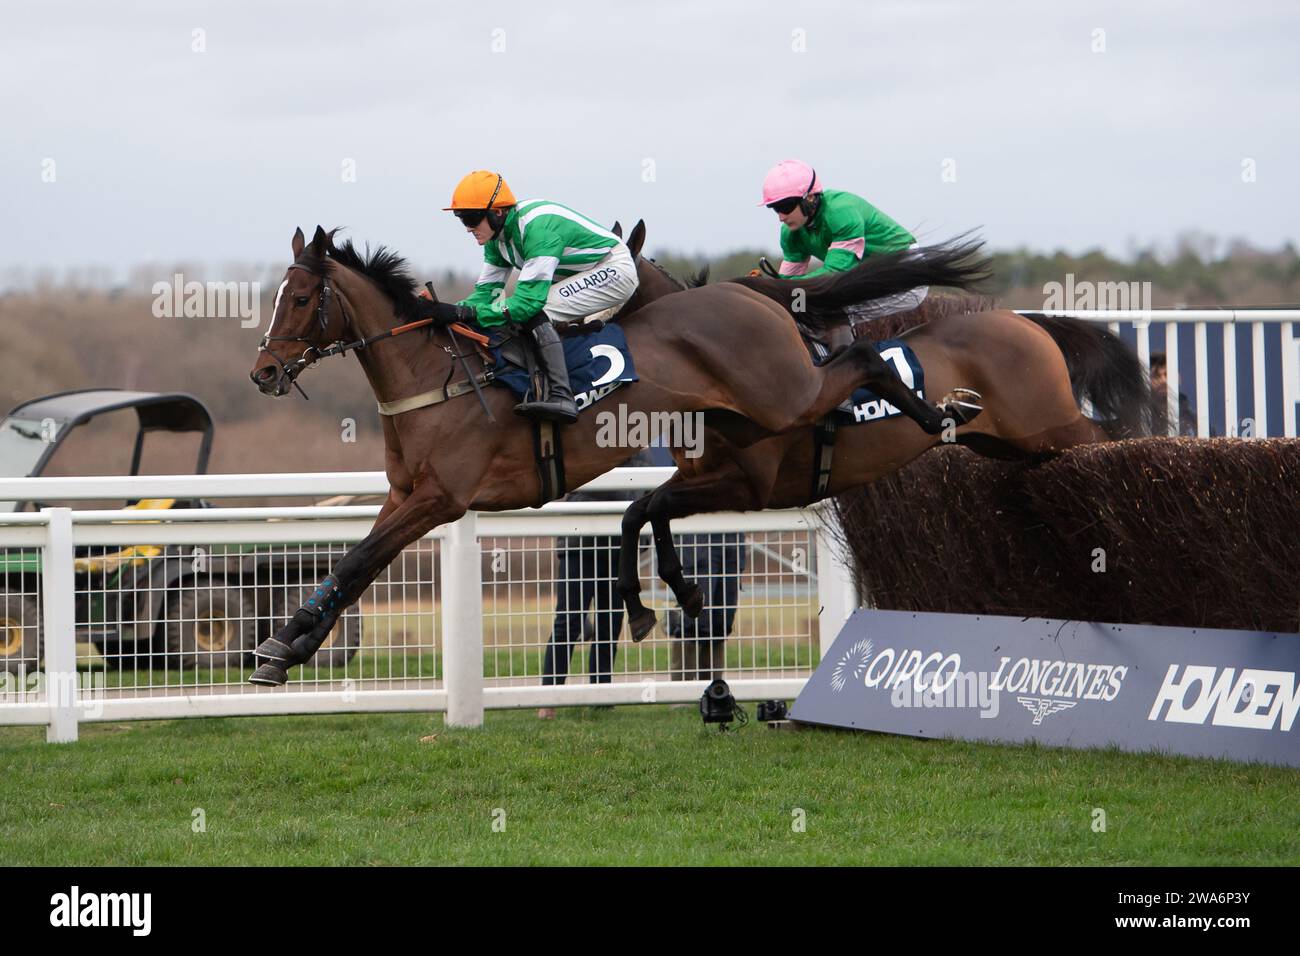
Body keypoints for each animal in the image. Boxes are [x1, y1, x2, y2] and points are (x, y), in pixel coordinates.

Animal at [245, 226, 990, 685]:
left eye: (302, 298)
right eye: (275, 296)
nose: (264, 373)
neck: (436, 376)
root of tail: (752, 292)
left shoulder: (440, 498)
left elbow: (358, 561)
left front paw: (285, 643)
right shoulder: (405, 495)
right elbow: (354, 566)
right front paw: (289, 646)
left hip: (788, 397)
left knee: (864, 359)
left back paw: (944, 413)